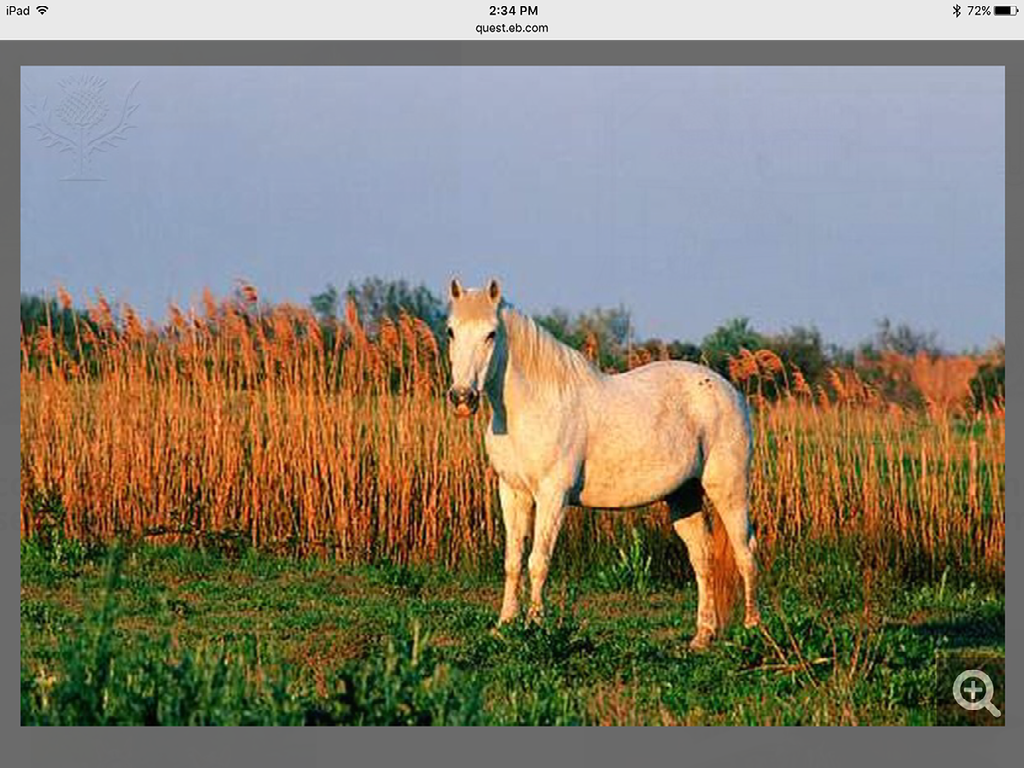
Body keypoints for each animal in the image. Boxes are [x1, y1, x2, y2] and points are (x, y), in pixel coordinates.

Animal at [445, 278, 760, 649]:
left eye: (491, 334)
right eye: (451, 331)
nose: (462, 398)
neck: (532, 407)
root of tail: (731, 392)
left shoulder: (553, 496)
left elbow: (539, 560)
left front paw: (535, 624)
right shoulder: (512, 493)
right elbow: (513, 560)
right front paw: (504, 624)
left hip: (729, 489)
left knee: (745, 551)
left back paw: (754, 628)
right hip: (684, 496)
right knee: (703, 557)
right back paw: (703, 635)